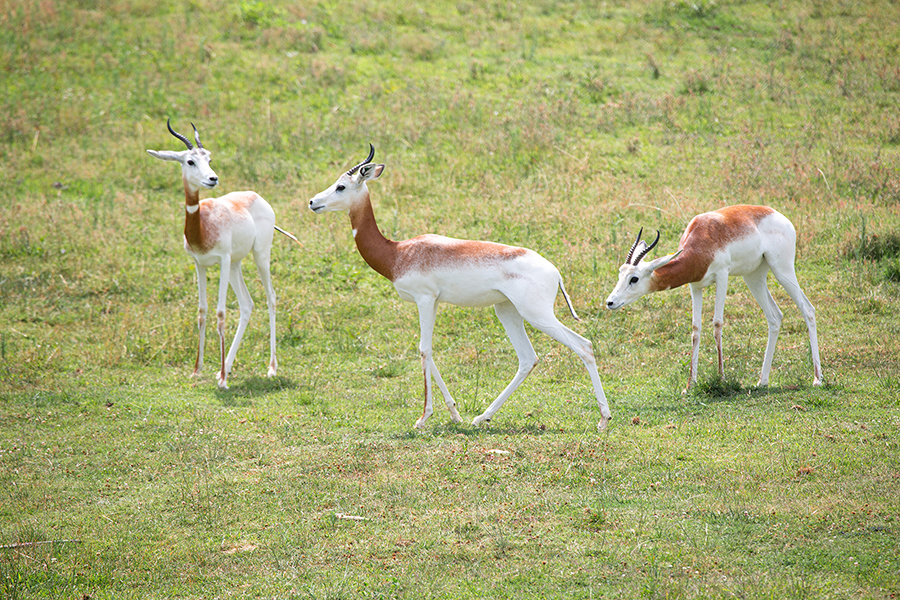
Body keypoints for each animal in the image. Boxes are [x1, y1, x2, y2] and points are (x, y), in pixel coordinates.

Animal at [147, 119, 290, 388]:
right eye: (190, 161)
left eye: (209, 158)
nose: (212, 178)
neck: (203, 227)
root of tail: (257, 196)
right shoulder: (199, 264)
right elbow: (202, 312)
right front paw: (197, 370)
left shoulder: (221, 260)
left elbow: (221, 314)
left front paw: (222, 381)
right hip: (235, 265)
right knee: (247, 304)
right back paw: (227, 367)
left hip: (259, 256)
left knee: (271, 298)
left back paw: (271, 368)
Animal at [308, 145, 612, 430]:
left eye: (341, 186)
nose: (313, 202)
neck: (397, 253)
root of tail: (554, 271)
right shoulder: (434, 302)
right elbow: (429, 352)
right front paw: (454, 414)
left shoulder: (425, 299)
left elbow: (424, 349)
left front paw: (423, 418)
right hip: (507, 311)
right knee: (528, 358)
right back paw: (482, 417)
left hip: (536, 314)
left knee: (584, 346)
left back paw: (603, 419)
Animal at [605, 205, 823, 392]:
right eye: (620, 273)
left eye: (634, 278)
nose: (610, 302)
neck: (701, 242)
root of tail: (779, 215)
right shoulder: (695, 286)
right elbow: (695, 330)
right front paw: (689, 385)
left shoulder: (722, 276)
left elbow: (717, 324)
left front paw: (721, 378)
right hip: (754, 276)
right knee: (775, 317)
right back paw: (762, 381)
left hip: (782, 268)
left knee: (808, 309)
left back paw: (817, 379)